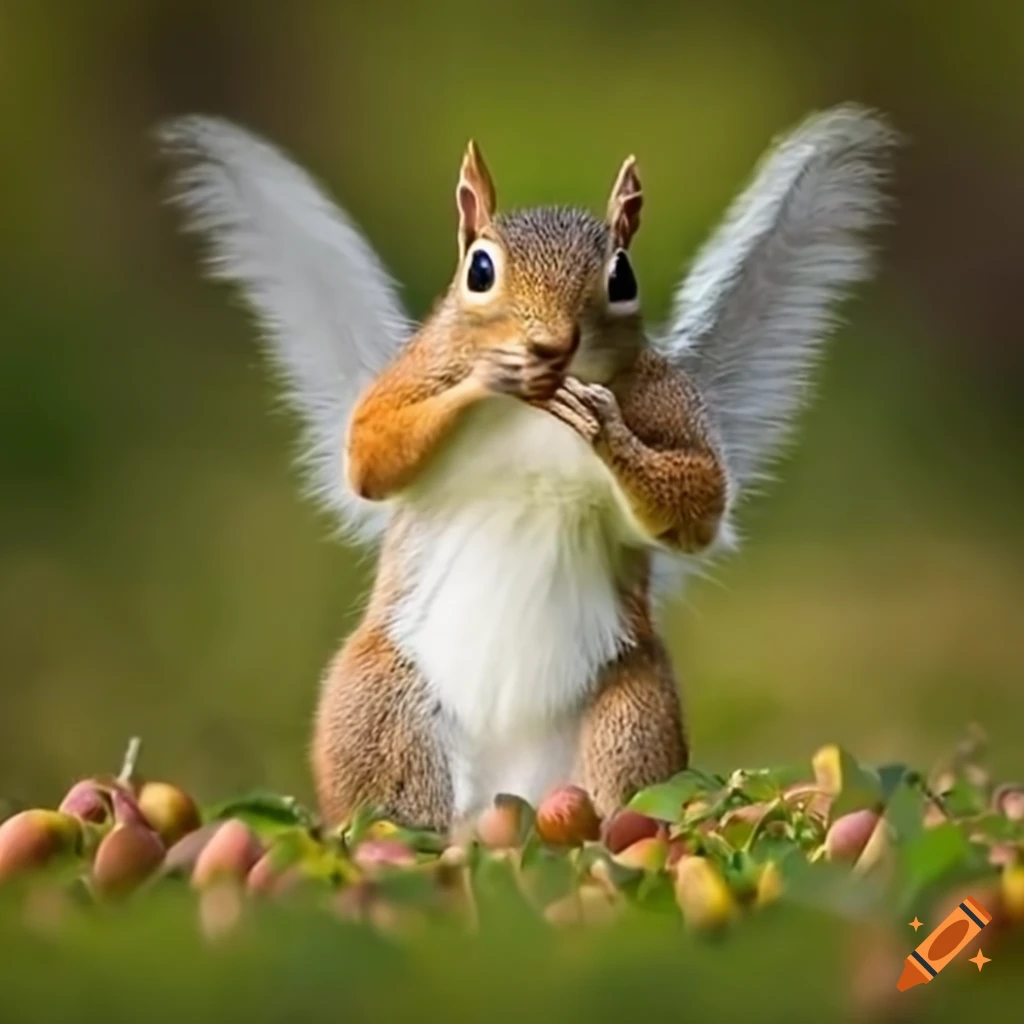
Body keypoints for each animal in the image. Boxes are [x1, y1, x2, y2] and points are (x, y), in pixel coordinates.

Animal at [160, 104, 897, 831]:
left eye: (622, 277)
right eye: (479, 270)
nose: (549, 344)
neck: (538, 409)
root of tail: (506, 798)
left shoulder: (670, 402)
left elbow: (701, 496)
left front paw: (605, 429)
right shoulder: (413, 376)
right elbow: (369, 454)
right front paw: (491, 376)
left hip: (632, 711)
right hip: (383, 707)